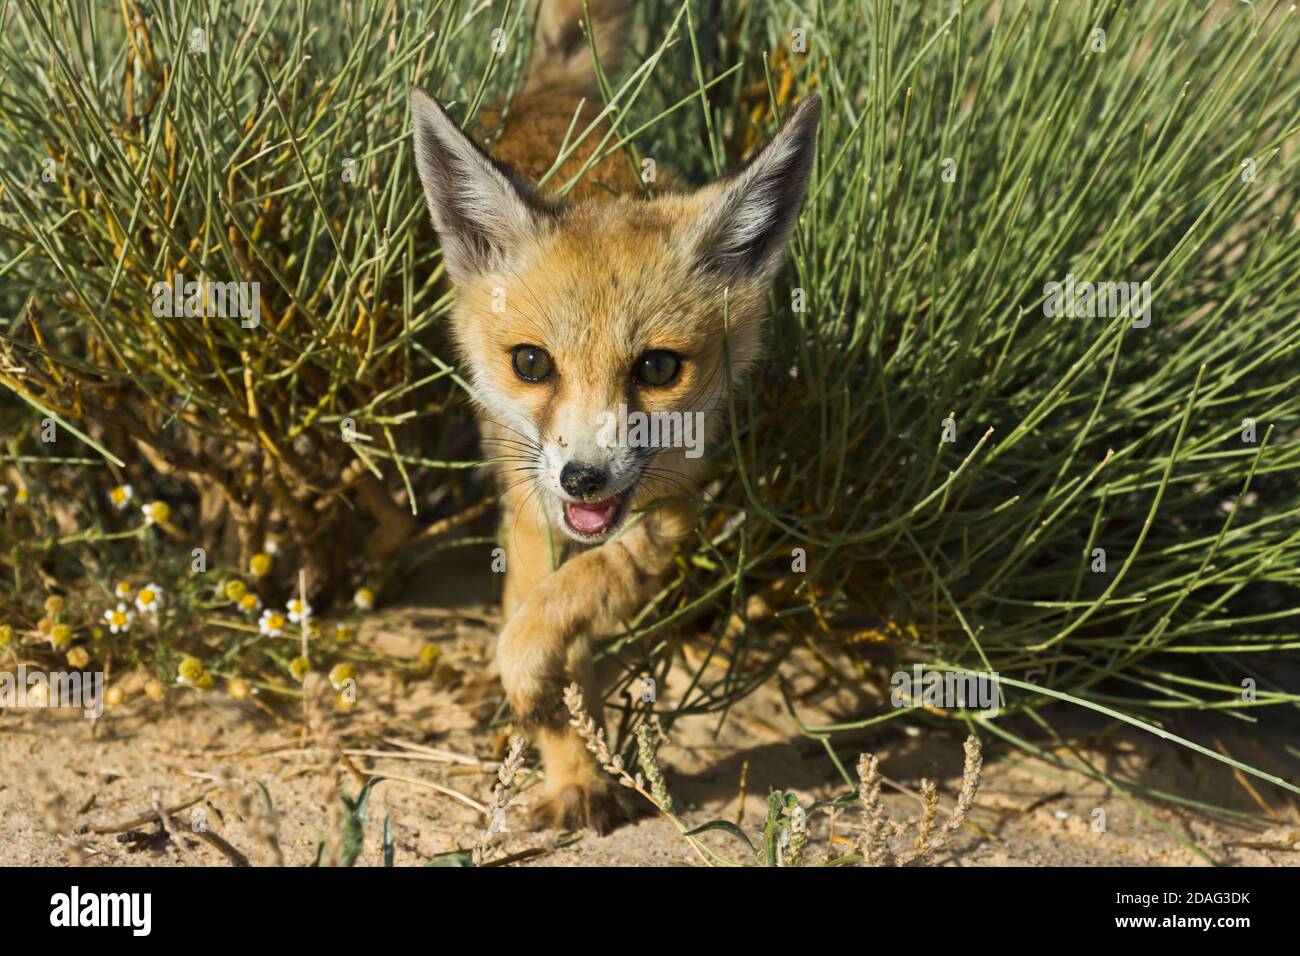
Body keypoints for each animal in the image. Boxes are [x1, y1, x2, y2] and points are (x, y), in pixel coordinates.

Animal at [409, 0, 819, 833]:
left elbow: (578, 596)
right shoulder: (532, 506)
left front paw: (544, 697)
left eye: (657, 368)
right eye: (532, 363)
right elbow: (547, 630)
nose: (585, 478)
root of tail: (555, 94)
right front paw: (569, 759)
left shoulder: (675, 499)